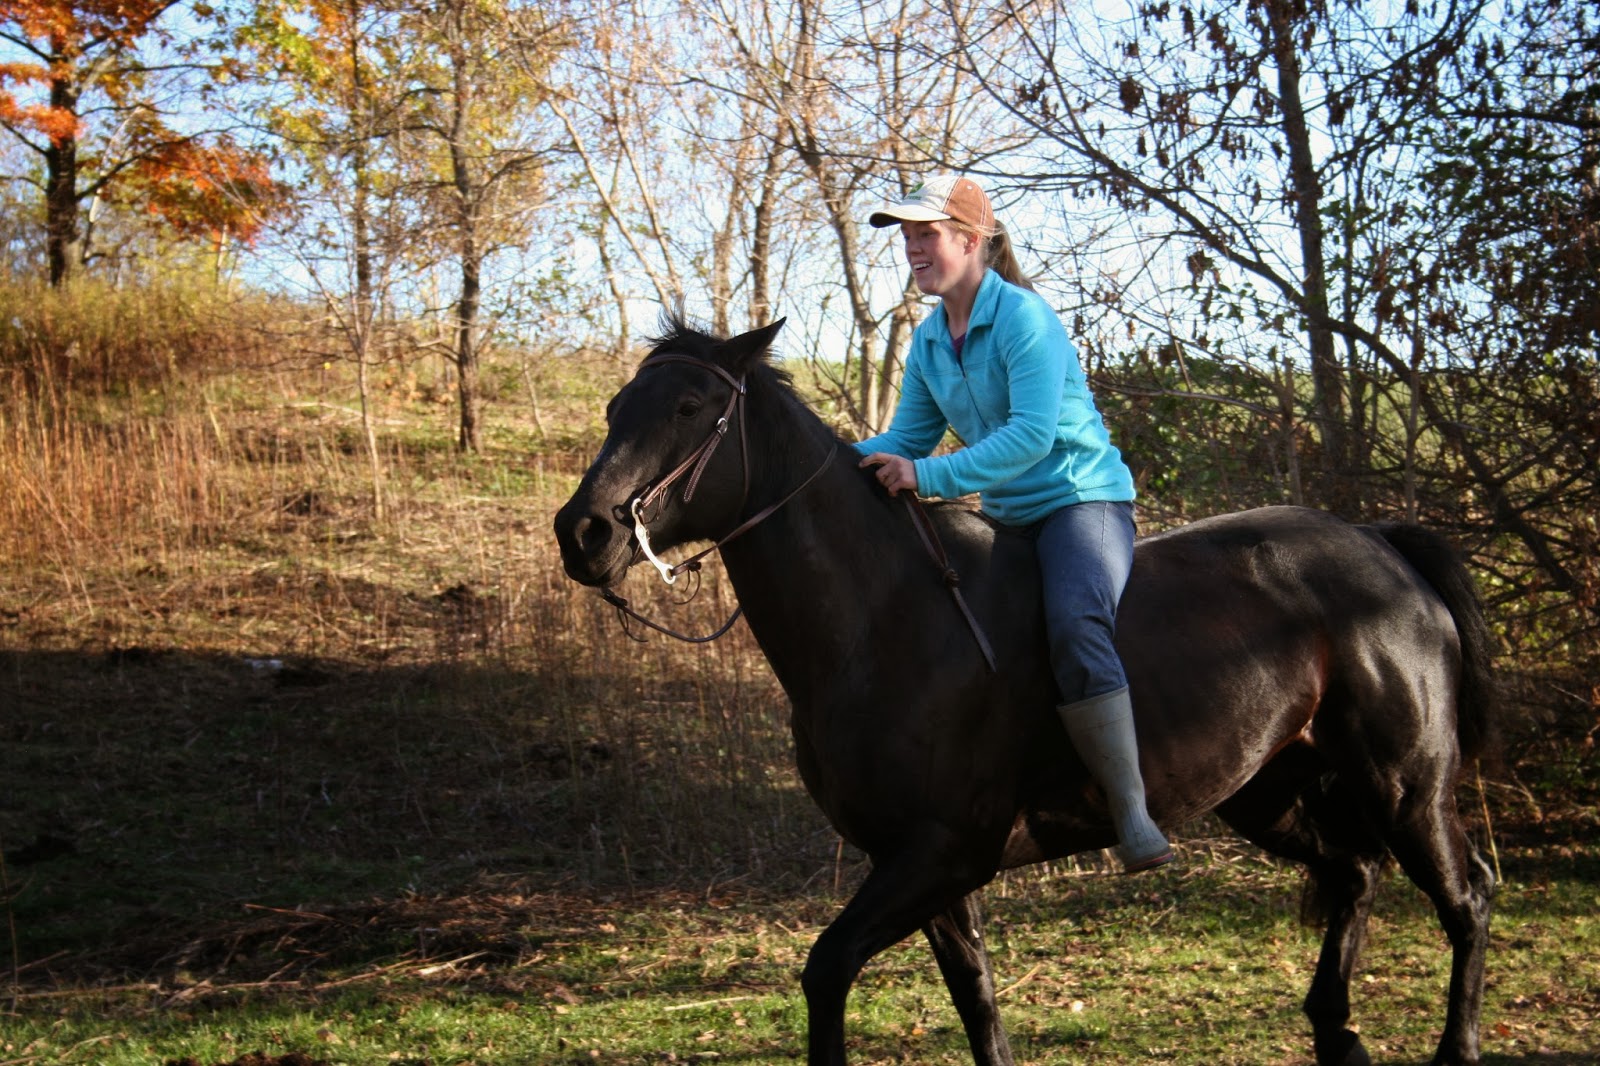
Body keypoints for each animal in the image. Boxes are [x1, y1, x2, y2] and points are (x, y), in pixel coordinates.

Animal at [552, 317, 1496, 1066]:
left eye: (687, 408)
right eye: (614, 409)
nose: (583, 533)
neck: (883, 619)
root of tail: (1382, 544)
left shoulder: (940, 854)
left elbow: (827, 971)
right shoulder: (921, 867)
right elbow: (976, 1000)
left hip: (1406, 788)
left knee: (1467, 896)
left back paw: (1454, 1047)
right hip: (1269, 794)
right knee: (1356, 876)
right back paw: (1336, 1031)